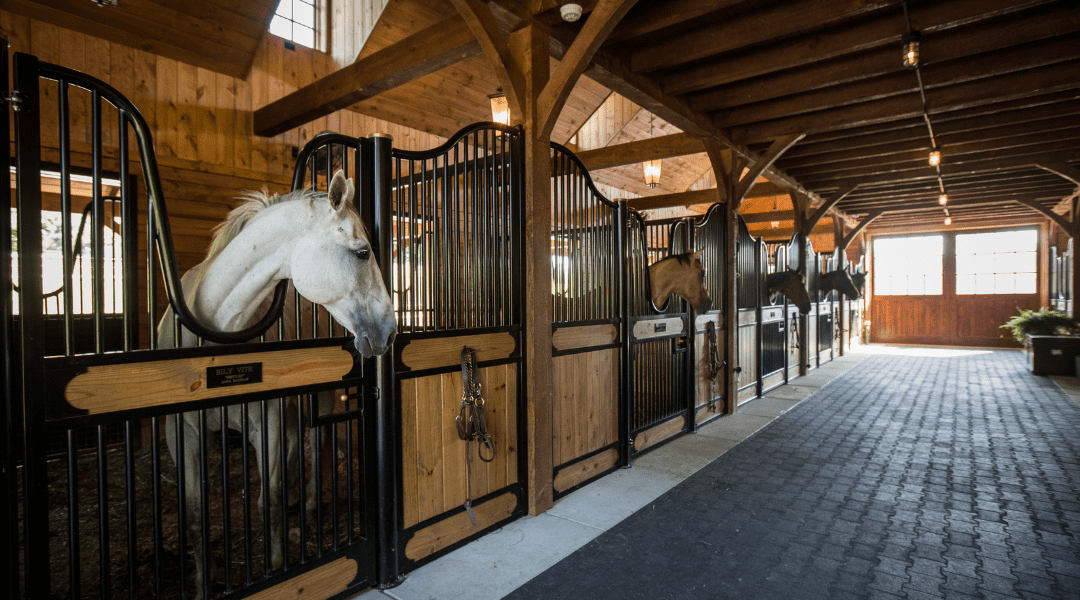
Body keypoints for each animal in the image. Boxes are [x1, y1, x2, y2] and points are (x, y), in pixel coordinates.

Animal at [157, 170, 396, 599]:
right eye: (363, 252)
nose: (390, 330)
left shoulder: (264, 423)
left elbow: (266, 501)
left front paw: (276, 568)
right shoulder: (182, 432)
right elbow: (197, 513)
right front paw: (202, 584)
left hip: (318, 398)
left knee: (314, 443)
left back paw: (309, 508)